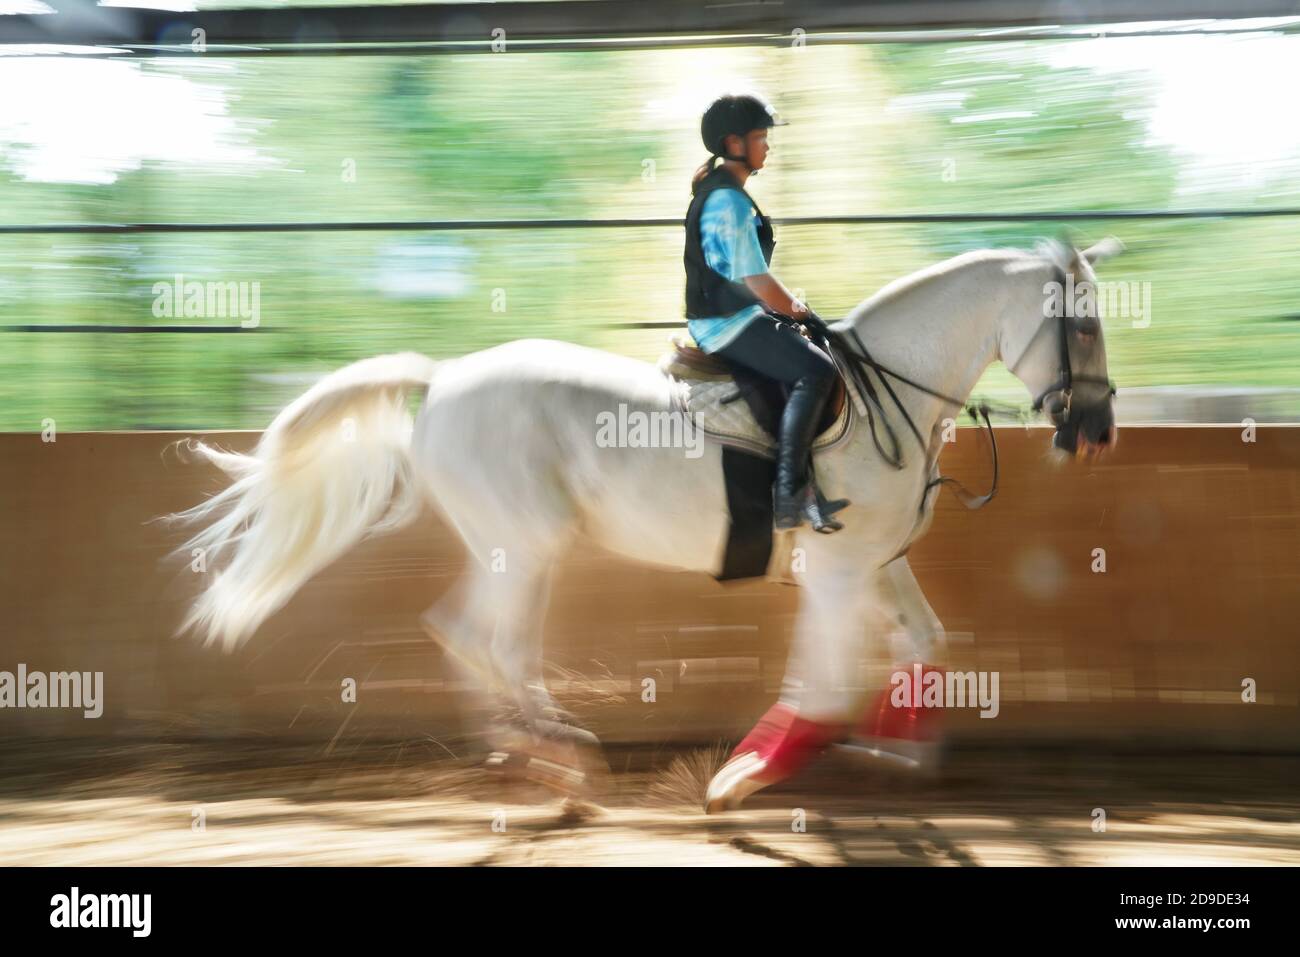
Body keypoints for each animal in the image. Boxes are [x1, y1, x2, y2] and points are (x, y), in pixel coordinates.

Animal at [165, 237, 1122, 811]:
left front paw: (900, 752)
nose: (1097, 428)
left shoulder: (880, 561)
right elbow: (818, 681)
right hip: (529, 548)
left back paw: (523, 754)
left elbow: (926, 640)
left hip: (507, 547)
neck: (887, 390)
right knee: (492, 640)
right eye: (1080, 325)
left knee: (462, 632)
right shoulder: (839, 569)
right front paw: (744, 775)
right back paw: (561, 753)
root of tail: (442, 378)